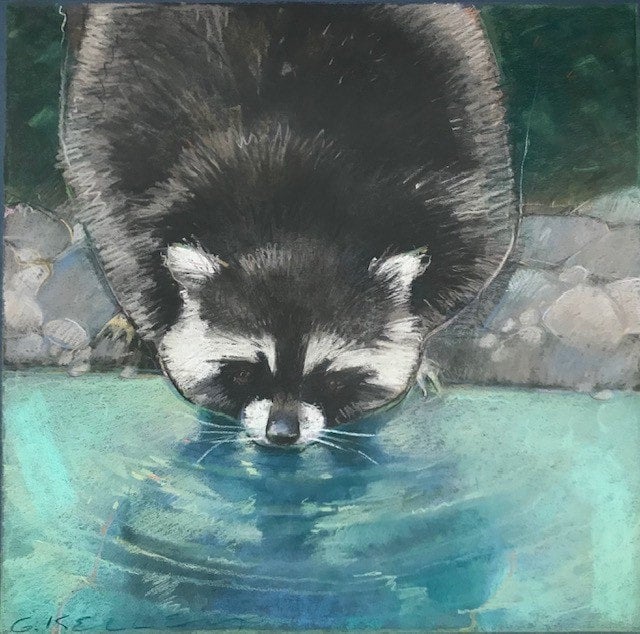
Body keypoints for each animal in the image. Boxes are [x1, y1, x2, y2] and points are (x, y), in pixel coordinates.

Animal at [61, 4, 516, 447]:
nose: (282, 434)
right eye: (245, 371)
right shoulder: (144, 199)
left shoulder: (450, 196)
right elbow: (129, 254)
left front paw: (422, 346)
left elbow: (465, 270)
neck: (294, 229)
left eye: (329, 376)